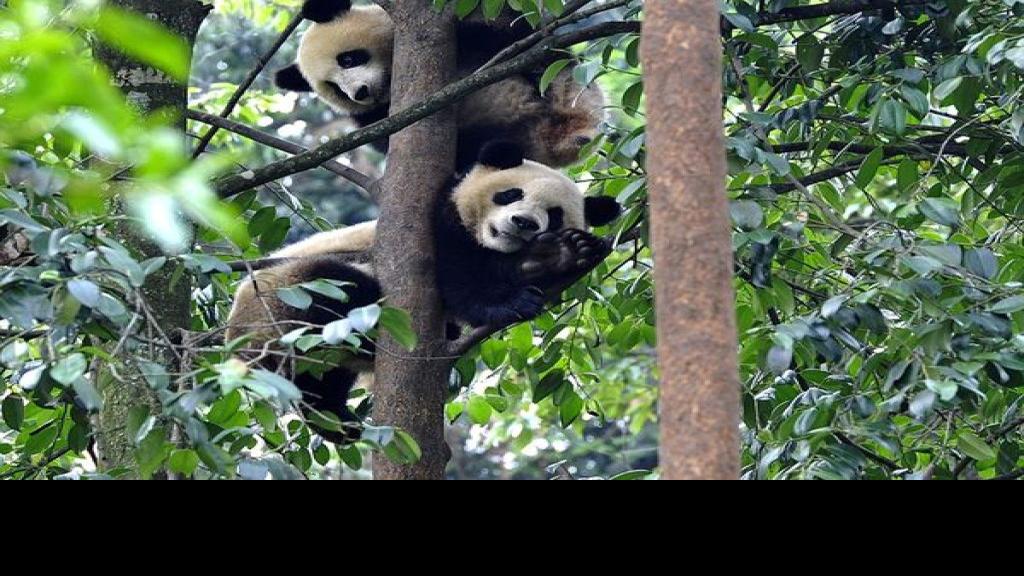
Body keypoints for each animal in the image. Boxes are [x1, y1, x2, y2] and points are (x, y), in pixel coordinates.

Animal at [226, 141, 622, 442]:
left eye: (554, 215)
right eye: (511, 194)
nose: (523, 223)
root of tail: (235, 341)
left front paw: (562, 254)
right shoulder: (444, 220)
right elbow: (460, 280)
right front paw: (513, 298)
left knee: (321, 381)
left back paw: (337, 421)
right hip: (286, 295)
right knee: (343, 291)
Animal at [274, 0, 606, 169]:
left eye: (348, 59)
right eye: (335, 88)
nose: (360, 93)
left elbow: (503, 34)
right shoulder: (370, 117)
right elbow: (382, 136)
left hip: (571, 88)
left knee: (555, 68)